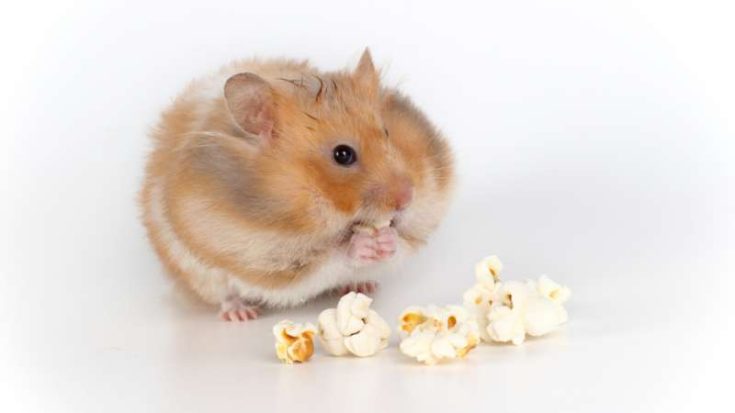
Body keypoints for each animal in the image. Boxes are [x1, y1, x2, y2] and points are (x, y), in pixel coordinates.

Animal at [140, 50, 454, 321]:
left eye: (387, 132)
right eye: (342, 154)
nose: (407, 198)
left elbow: (404, 241)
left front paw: (387, 239)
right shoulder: (266, 258)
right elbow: (327, 259)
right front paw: (362, 244)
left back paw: (362, 286)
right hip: (200, 275)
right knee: (224, 295)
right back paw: (240, 314)